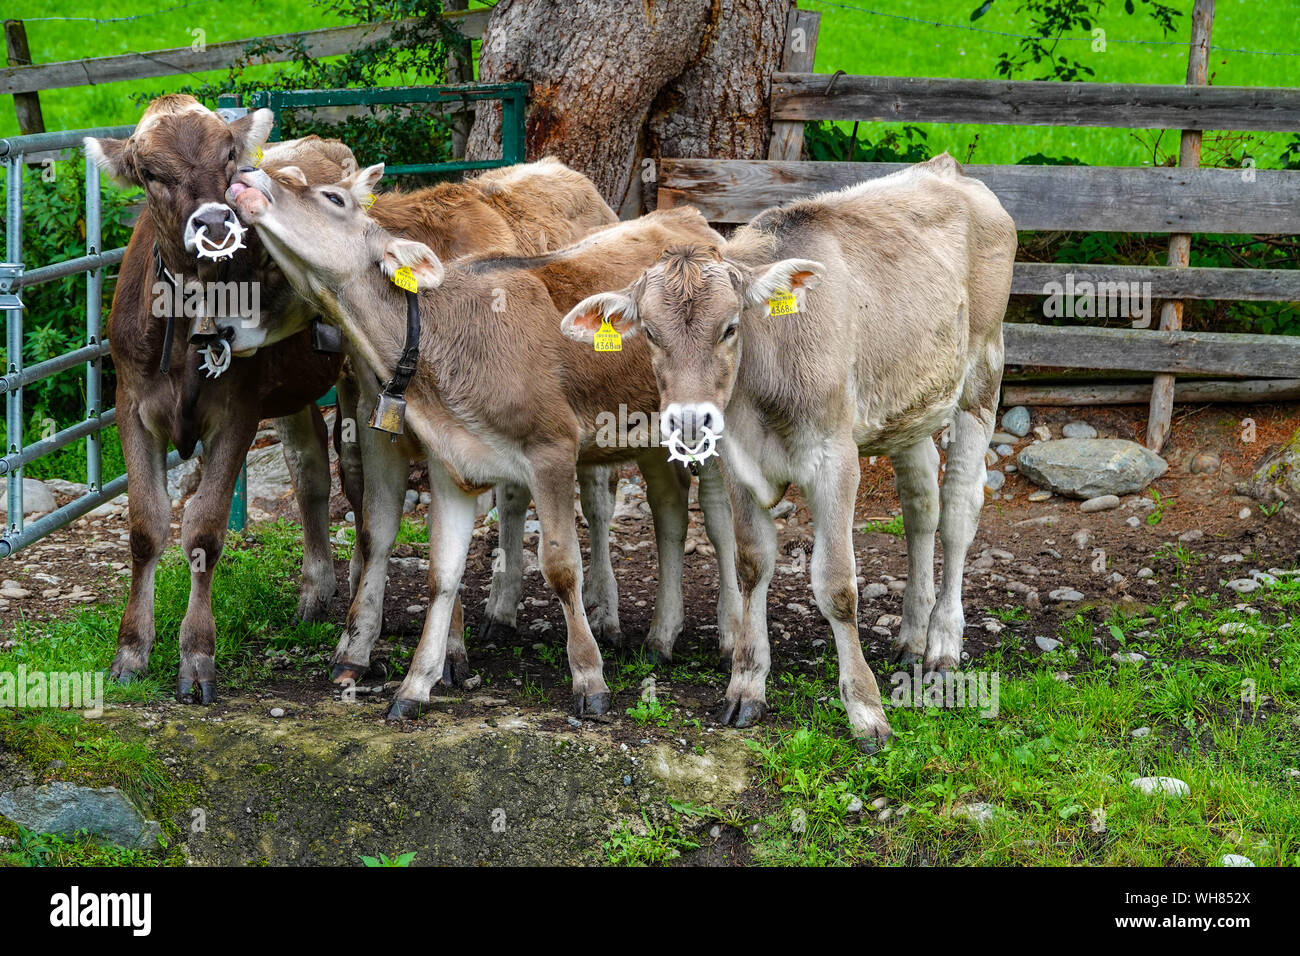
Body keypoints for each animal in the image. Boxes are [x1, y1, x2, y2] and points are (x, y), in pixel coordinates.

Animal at [85, 95, 354, 703]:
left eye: (229, 155)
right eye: (150, 173)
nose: (213, 221)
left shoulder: (236, 414)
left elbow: (204, 529)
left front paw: (196, 656)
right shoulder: (131, 407)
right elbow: (145, 528)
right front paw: (130, 651)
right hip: (293, 394)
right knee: (309, 473)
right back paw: (315, 592)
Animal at [226, 161, 739, 717]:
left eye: (333, 198)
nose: (249, 174)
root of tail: (690, 219)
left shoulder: (552, 447)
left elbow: (562, 565)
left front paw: (589, 679)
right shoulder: (450, 459)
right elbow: (441, 573)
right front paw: (415, 683)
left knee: (717, 521)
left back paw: (728, 636)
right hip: (650, 439)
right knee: (669, 512)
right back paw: (661, 637)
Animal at [559, 154, 1017, 750]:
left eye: (731, 327)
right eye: (652, 335)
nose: (690, 419)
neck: (766, 383)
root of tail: (948, 169)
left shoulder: (835, 458)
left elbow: (837, 583)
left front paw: (866, 710)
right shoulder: (738, 463)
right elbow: (752, 564)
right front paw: (746, 686)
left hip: (983, 374)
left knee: (960, 510)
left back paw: (942, 643)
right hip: (908, 408)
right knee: (921, 507)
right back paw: (912, 638)